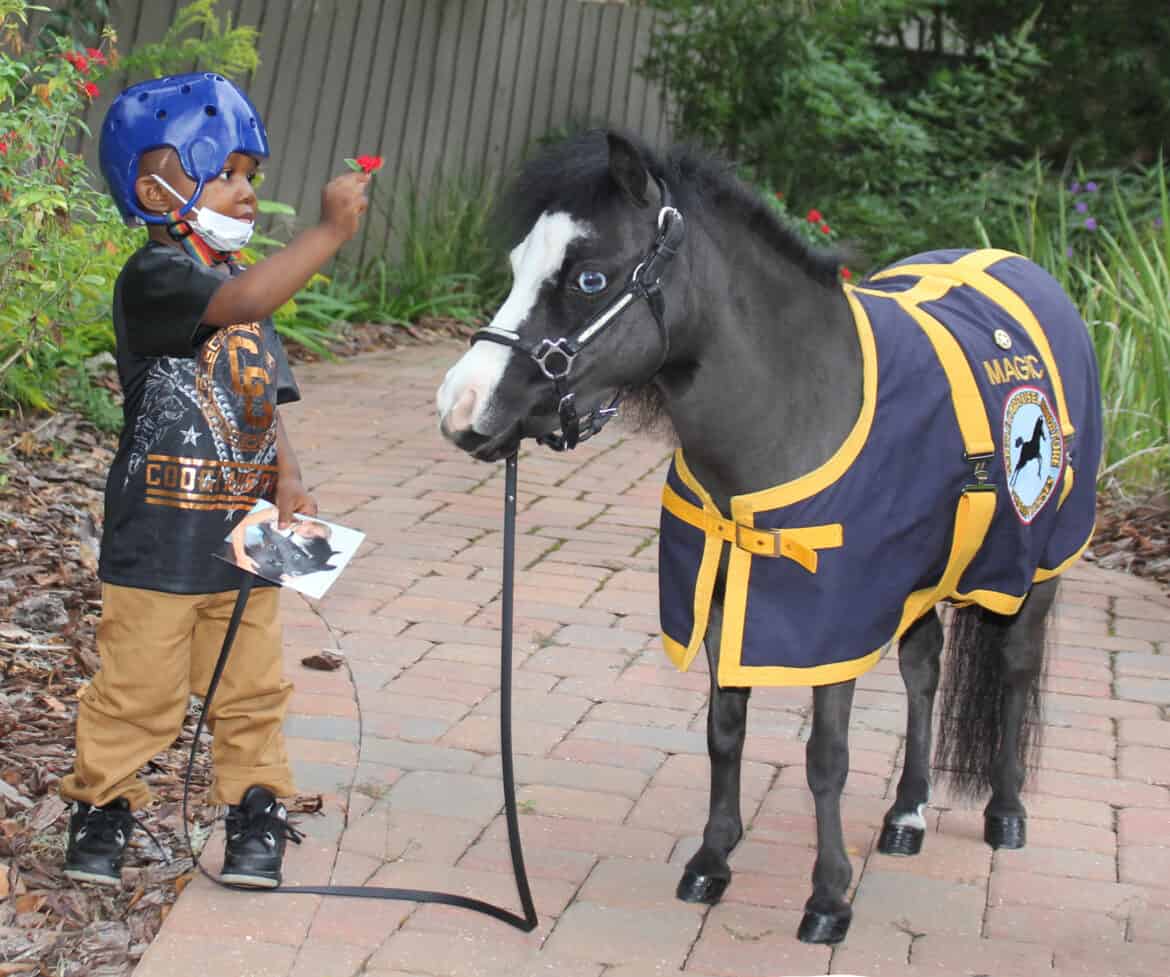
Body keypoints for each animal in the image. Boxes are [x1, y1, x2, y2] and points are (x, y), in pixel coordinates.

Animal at [435, 130, 1102, 944]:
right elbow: (725, 730)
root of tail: (1022, 267)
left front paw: (829, 898)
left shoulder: (834, 627)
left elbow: (826, 758)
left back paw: (1005, 812)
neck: (797, 409)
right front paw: (712, 860)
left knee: (1014, 669)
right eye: (516, 266)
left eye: (590, 277)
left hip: (1036, 570)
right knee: (924, 670)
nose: (462, 408)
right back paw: (907, 812)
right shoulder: (724, 601)